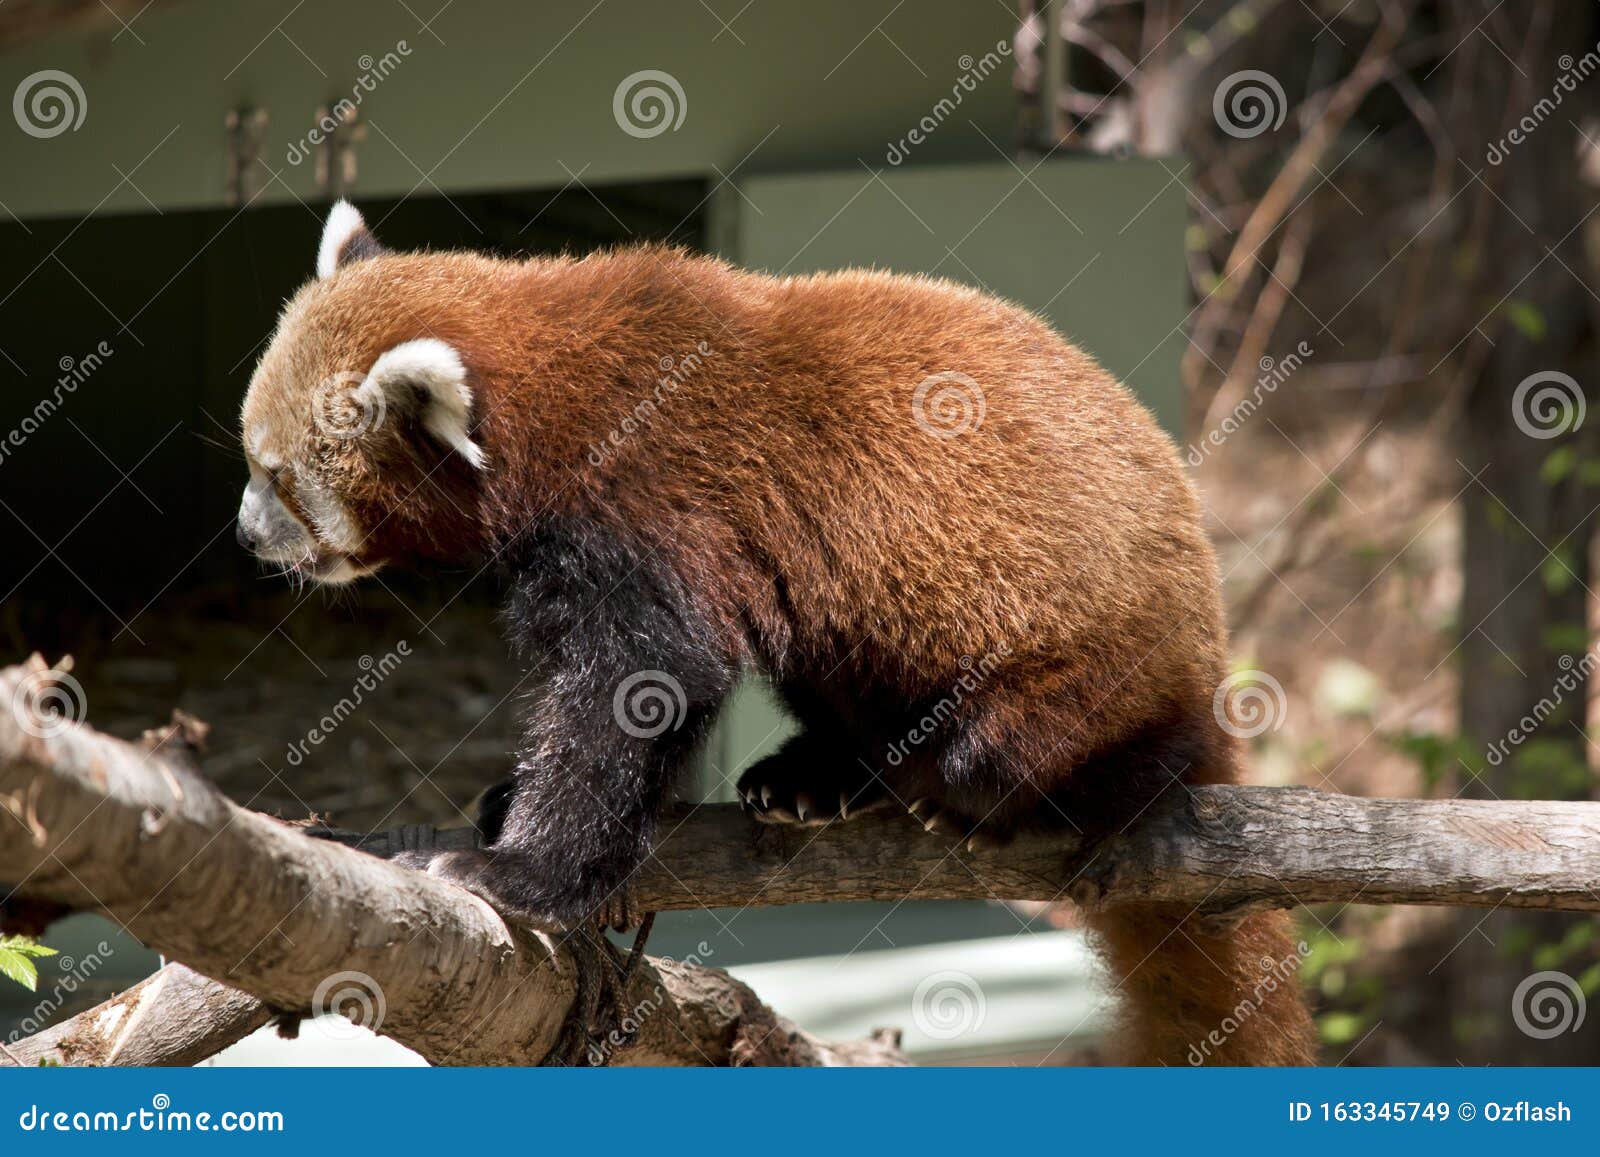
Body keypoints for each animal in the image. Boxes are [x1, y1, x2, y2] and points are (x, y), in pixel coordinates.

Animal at [235, 201, 1315, 1065]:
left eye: (280, 477)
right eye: (252, 462)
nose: (245, 533)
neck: (557, 398)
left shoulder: (649, 503)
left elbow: (639, 683)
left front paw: (520, 870)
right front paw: (514, 808)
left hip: (1095, 666)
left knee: (1046, 746)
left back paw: (982, 790)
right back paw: (822, 775)